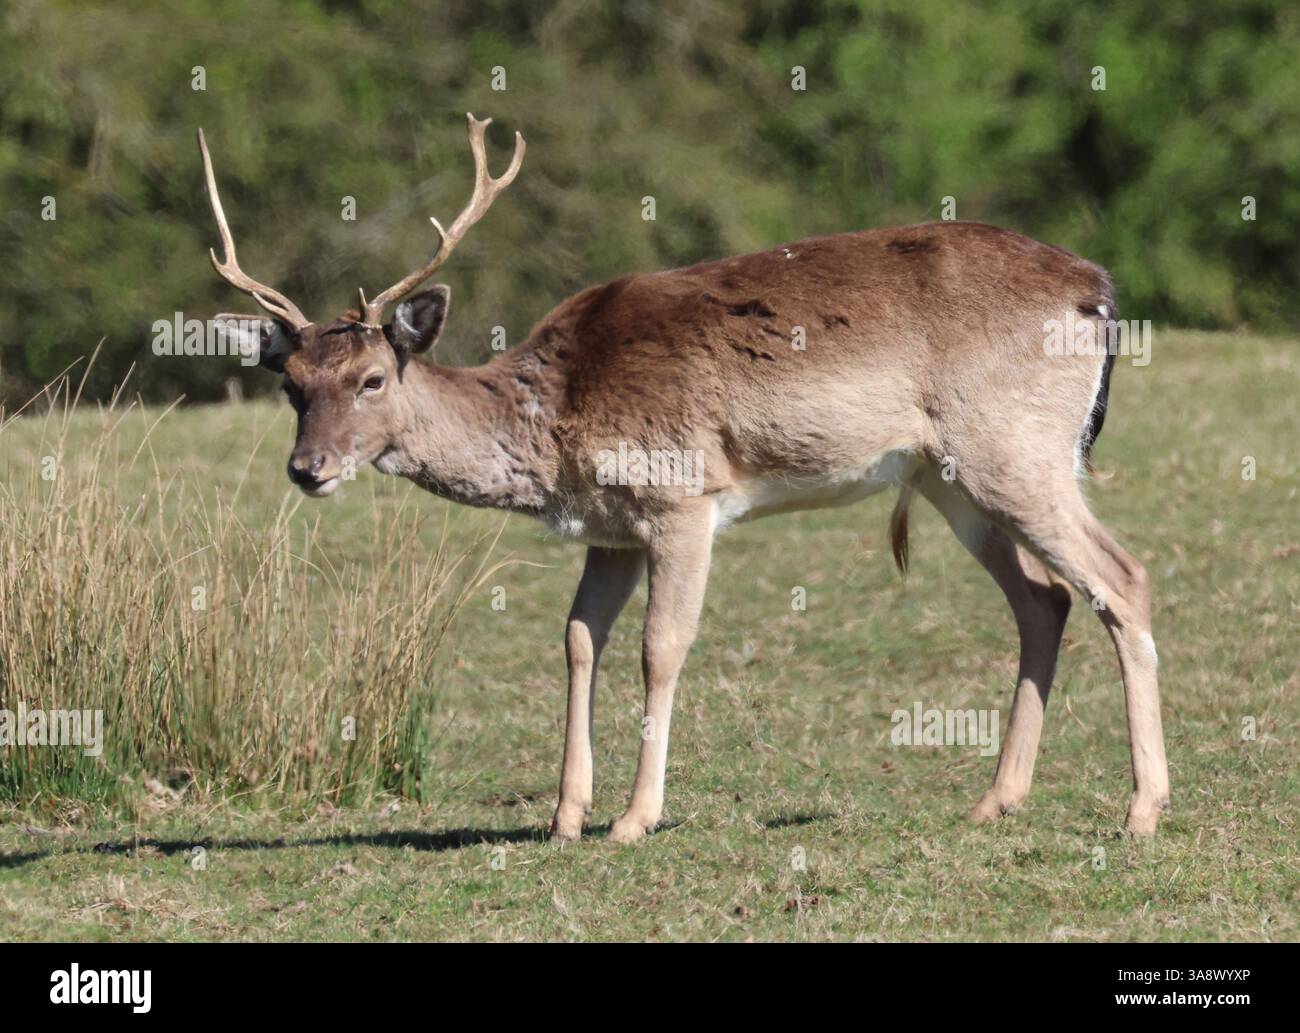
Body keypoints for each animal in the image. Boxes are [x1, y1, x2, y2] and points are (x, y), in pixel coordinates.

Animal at [198, 113, 1170, 844]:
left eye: (371, 379)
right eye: (291, 384)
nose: (308, 468)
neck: (559, 417)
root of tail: (1097, 290)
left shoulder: (682, 496)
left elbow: (659, 645)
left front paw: (635, 817)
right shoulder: (612, 531)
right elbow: (577, 639)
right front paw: (565, 815)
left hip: (1018, 449)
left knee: (1121, 574)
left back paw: (1142, 809)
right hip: (951, 478)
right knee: (1045, 597)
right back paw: (995, 799)